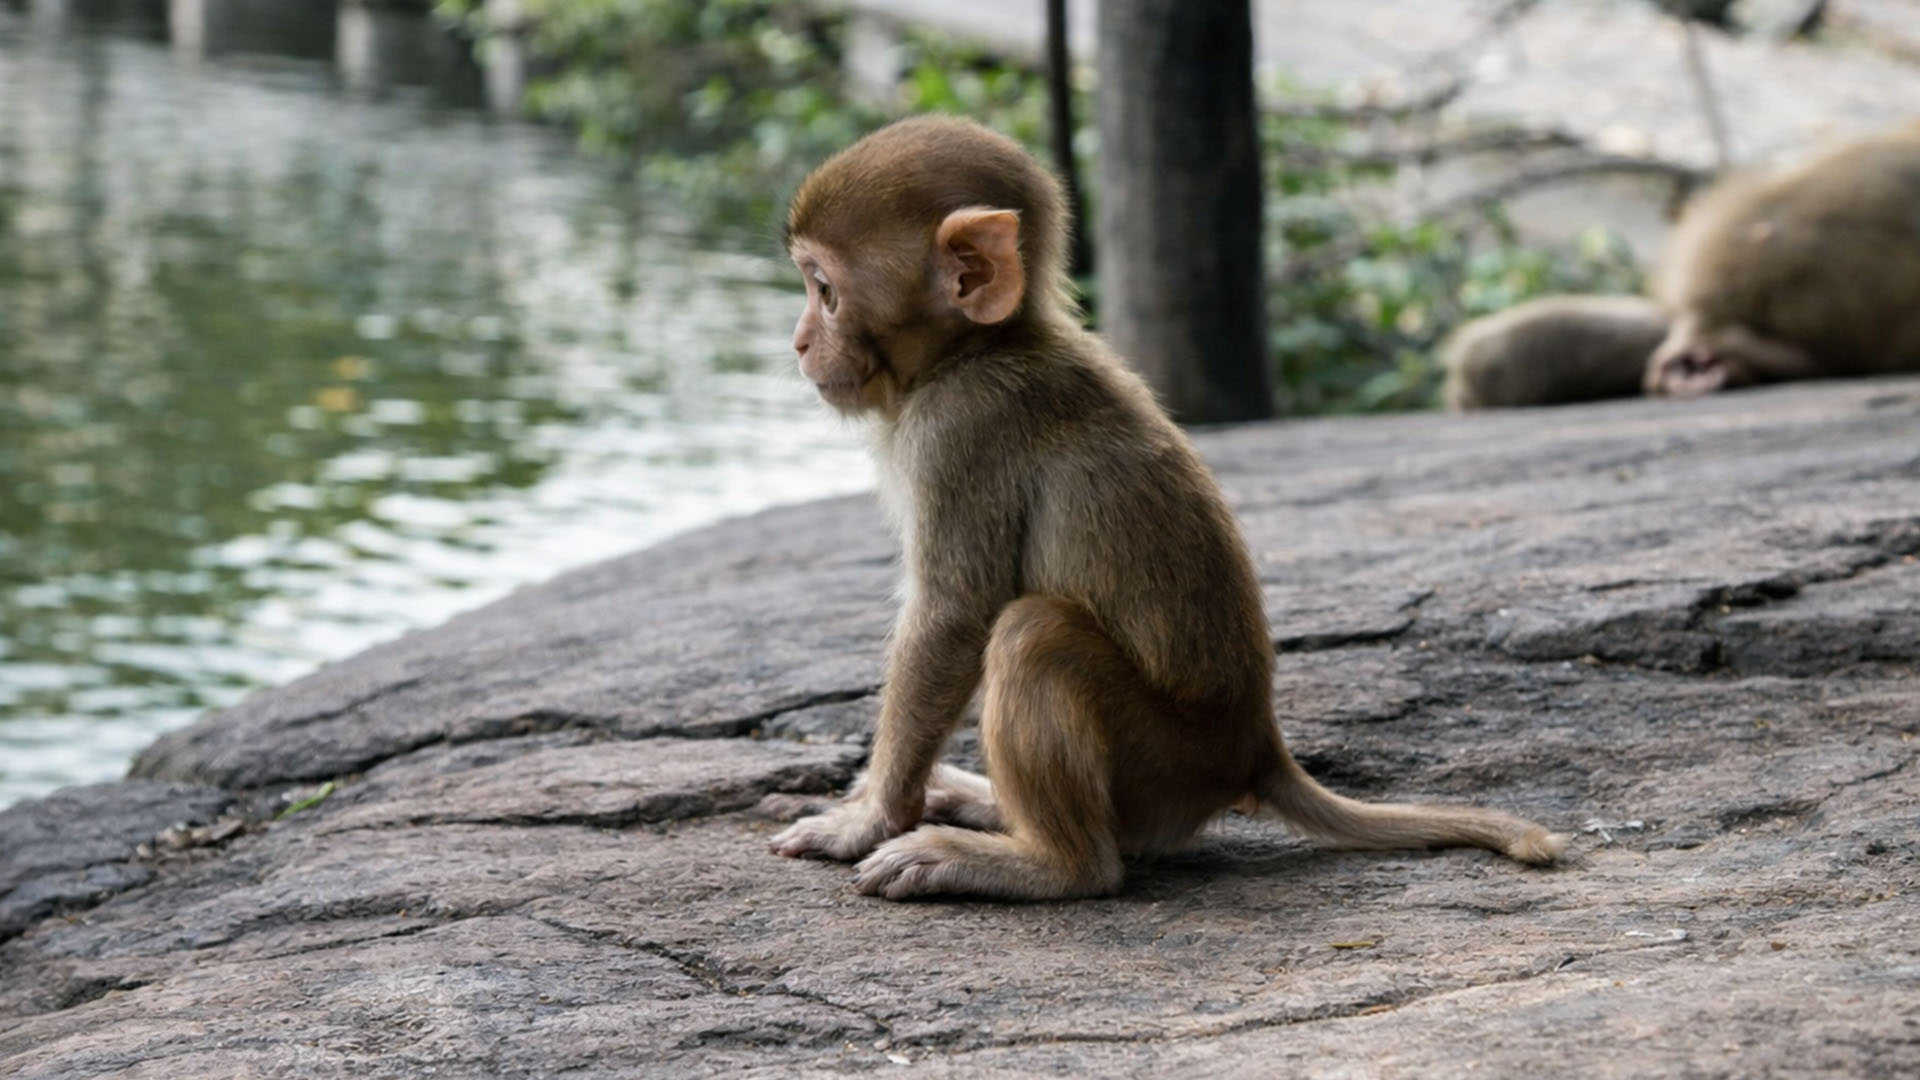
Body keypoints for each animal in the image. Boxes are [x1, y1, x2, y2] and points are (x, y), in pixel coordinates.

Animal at [768, 115, 1565, 901]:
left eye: (825, 290)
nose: (800, 343)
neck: (979, 348)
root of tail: (1257, 750)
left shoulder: (958, 431)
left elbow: (952, 617)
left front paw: (869, 818)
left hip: (1161, 766)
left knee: (1034, 636)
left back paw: (1044, 863)